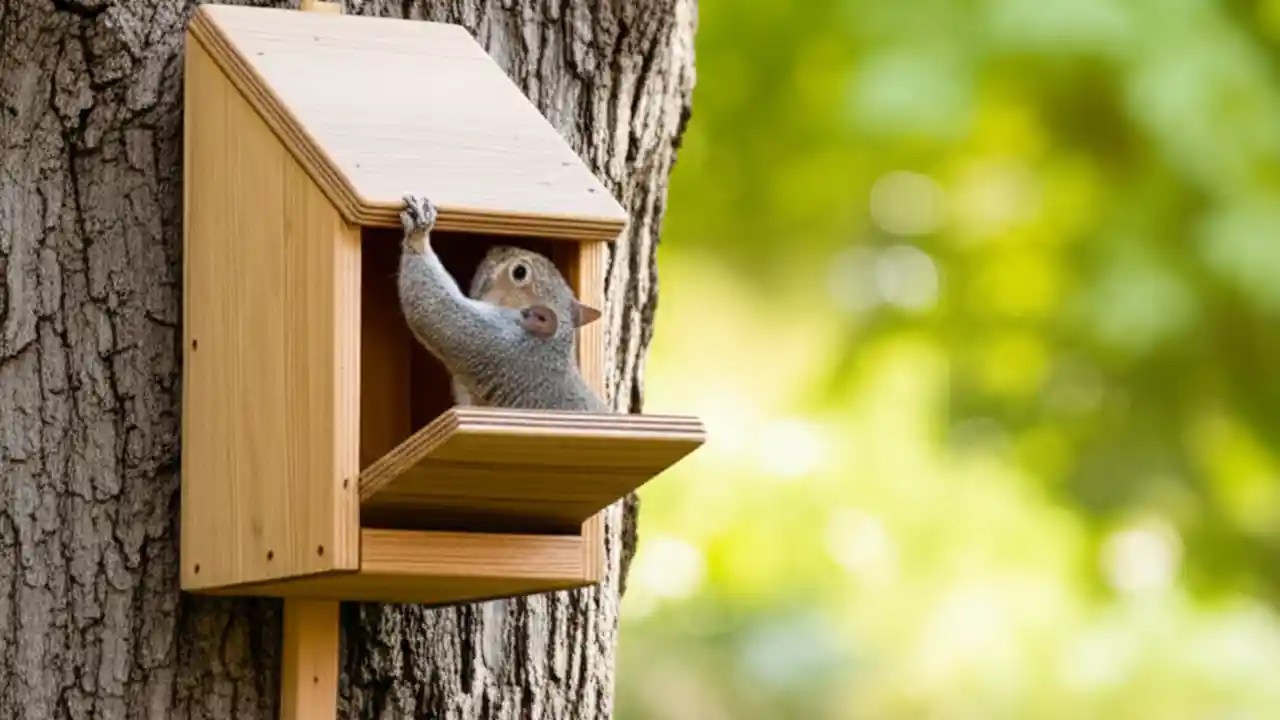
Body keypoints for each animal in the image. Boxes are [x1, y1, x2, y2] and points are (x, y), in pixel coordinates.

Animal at [397, 193, 608, 412]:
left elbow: (436, 312)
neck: (551, 343)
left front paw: (419, 232)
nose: (497, 247)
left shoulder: (498, 344)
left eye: (520, 272)